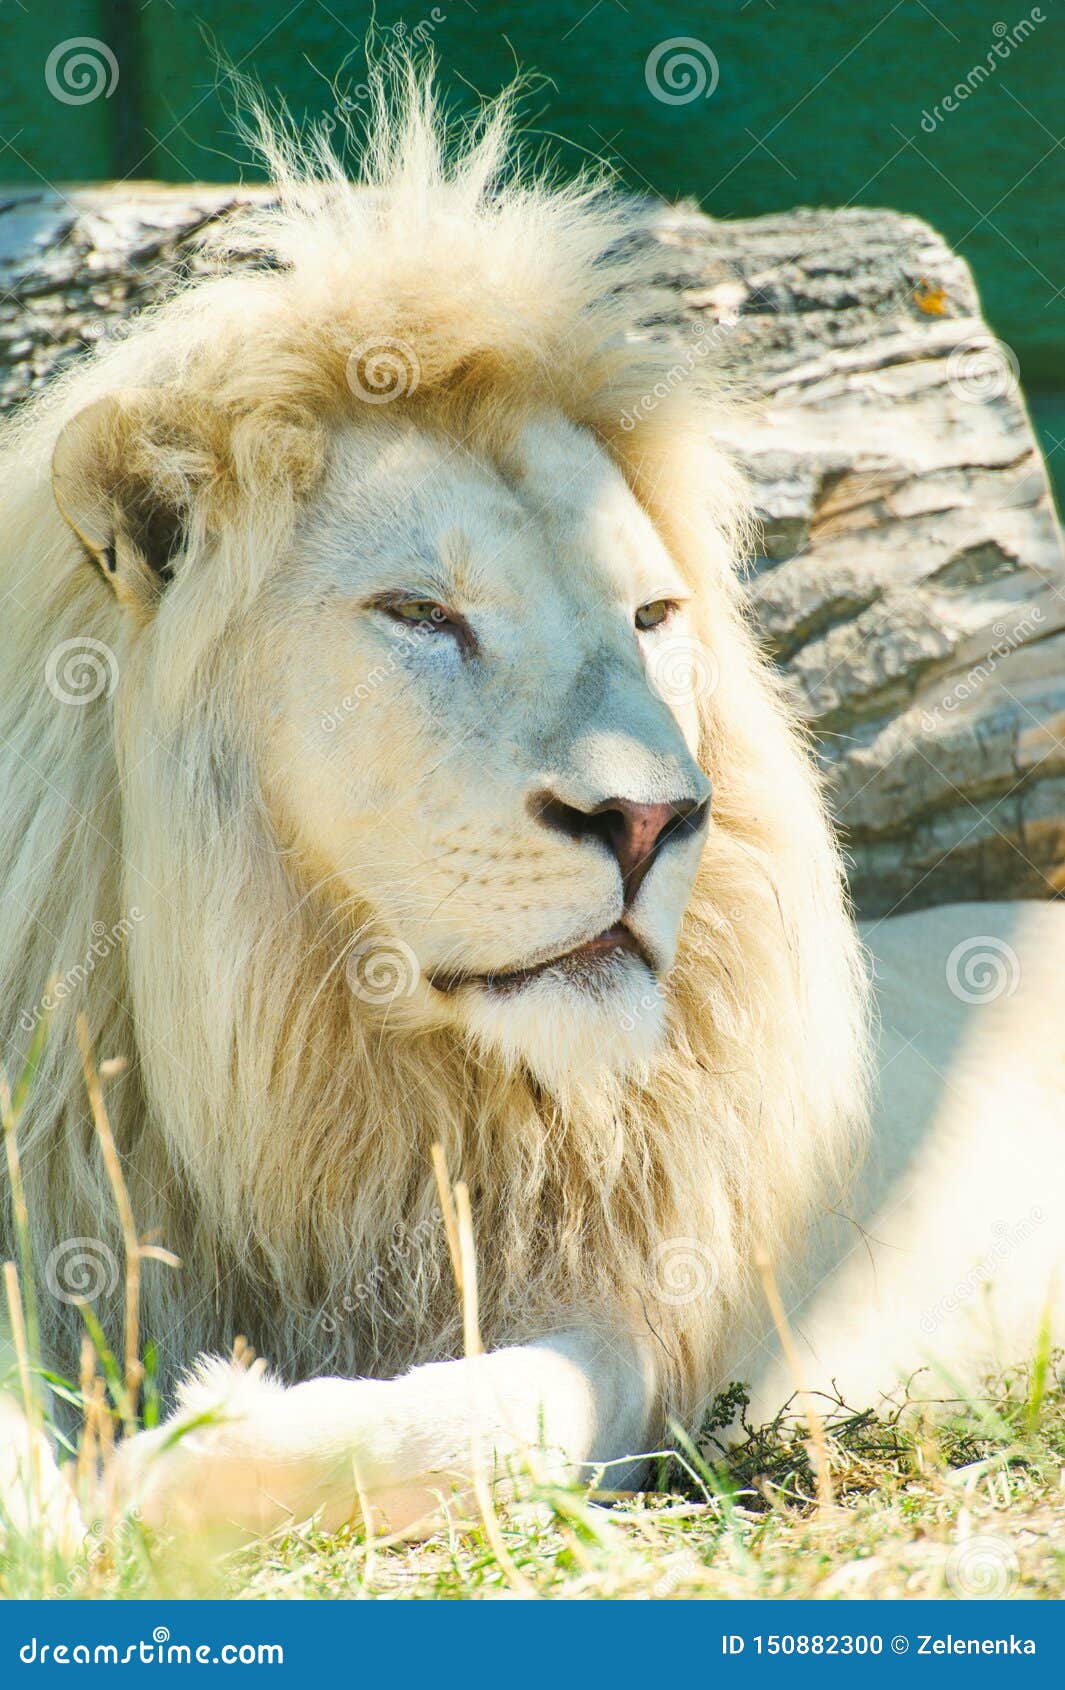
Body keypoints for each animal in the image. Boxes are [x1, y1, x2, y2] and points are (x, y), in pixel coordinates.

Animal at [7, 69, 1056, 1542]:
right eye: (419, 614)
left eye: (652, 615)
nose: (649, 822)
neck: (300, 1051)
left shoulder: (647, 1307)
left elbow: (483, 1412)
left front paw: (184, 1450)